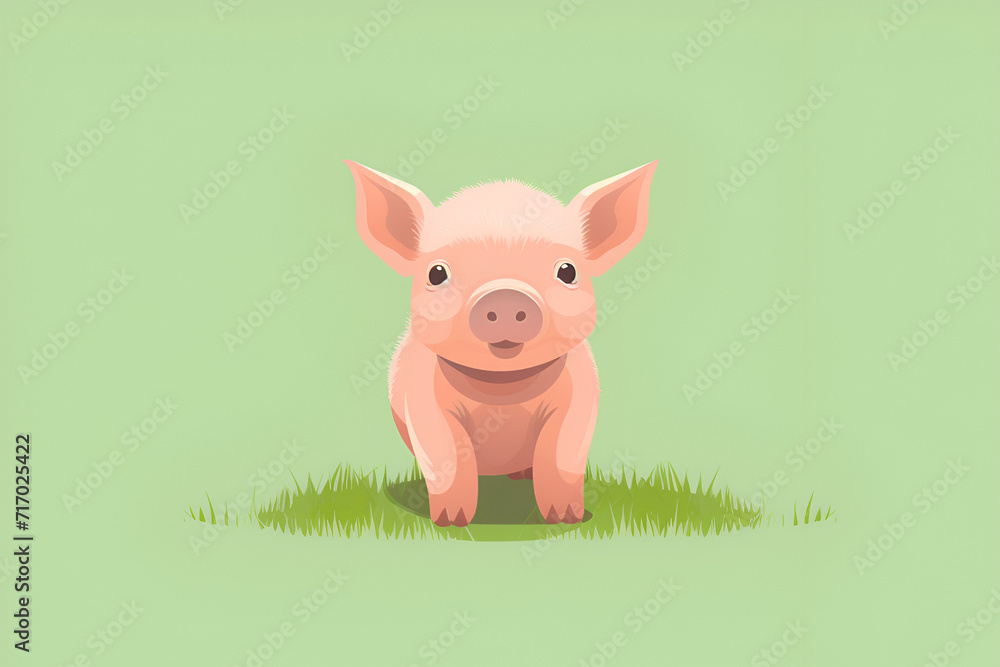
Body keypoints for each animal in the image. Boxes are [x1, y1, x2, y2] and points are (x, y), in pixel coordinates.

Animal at [346, 159, 657, 526]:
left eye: (567, 272)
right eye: (436, 273)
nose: (506, 297)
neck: (503, 390)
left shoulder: (581, 396)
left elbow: (562, 455)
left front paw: (565, 517)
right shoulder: (422, 401)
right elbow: (447, 457)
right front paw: (451, 521)